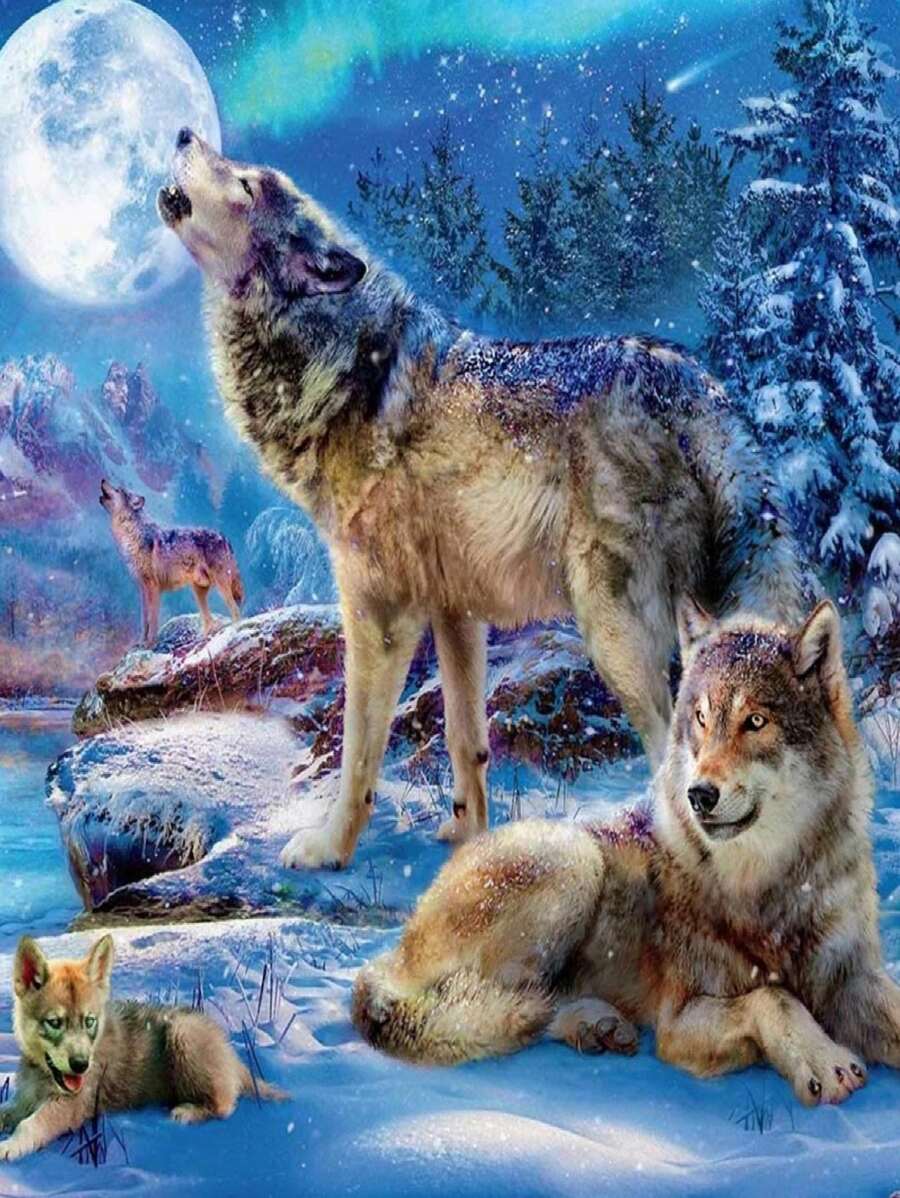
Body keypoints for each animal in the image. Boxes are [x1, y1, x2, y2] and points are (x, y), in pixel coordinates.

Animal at [0, 934, 286, 1161]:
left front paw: (10, 1146)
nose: (81, 1065)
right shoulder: (25, 1100)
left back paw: (187, 1112)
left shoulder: (70, 1105)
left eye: (89, 1021)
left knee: (224, 1105)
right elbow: (8, 1112)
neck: (43, 1075)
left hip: (183, 1034)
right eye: (54, 1022)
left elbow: (31, 1124)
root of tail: (233, 1058)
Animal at [100, 478, 243, 644]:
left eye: (118, 490)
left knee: (236, 612)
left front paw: (150, 643)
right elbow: (144, 620)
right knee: (209, 621)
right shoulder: (142, 588)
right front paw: (141, 643)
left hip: (221, 586)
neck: (132, 534)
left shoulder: (153, 587)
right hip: (198, 591)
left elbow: (152, 620)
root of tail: (225, 537)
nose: (102, 479)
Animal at [158, 128, 808, 871]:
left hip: (613, 634)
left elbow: (357, 753)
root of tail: (698, 386)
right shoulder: (456, 614)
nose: (183, 131)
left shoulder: (379, 610)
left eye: (243, 184)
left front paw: (329, 847)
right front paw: (467, 842)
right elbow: (466, 741)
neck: (347, 364)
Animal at [351, 599, 900, 1105]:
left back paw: (598, 1027)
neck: (776, 887)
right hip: (573, 862)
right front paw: (824, 1061)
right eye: (701, 719)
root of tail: (390, 955)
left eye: (756, 721)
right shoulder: (681, 1020)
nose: (699, 795)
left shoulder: (852, 979)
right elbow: (774, 997)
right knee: (505, 1004)